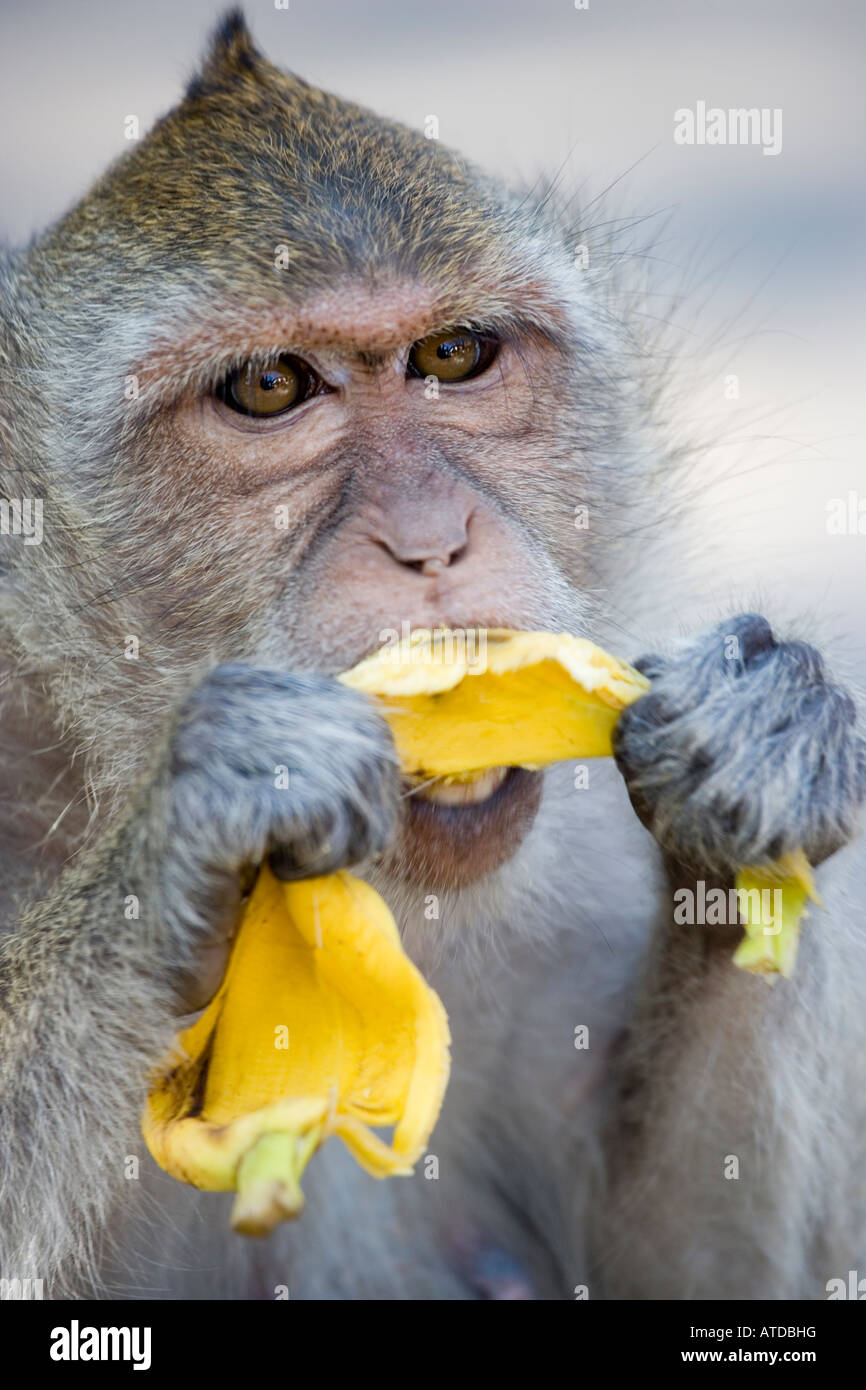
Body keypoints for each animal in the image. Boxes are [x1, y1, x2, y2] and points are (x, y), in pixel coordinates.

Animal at [0, 10, 864, 1301]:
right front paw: (204, 809)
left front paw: (757, 735)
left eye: (454, 354)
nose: (428, 537)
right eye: (269, 386)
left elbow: (688, 1266)